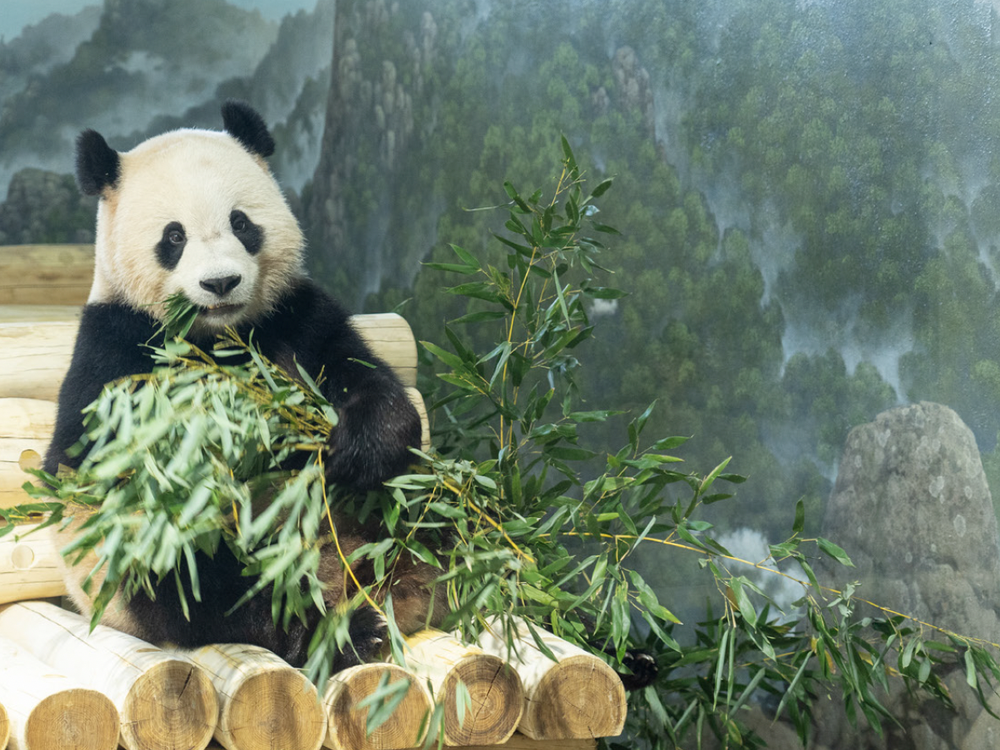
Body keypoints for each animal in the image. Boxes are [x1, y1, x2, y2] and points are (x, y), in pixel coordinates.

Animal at [43, 100, 435, 671]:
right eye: (174, 237)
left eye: (241, 222)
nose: (221, 283)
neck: (220, 335)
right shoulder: (117, 350)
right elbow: (99, 458)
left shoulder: (295, 316)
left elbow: (360, 374)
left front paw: (360, 449)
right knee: (203, 583)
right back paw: (331, 634)